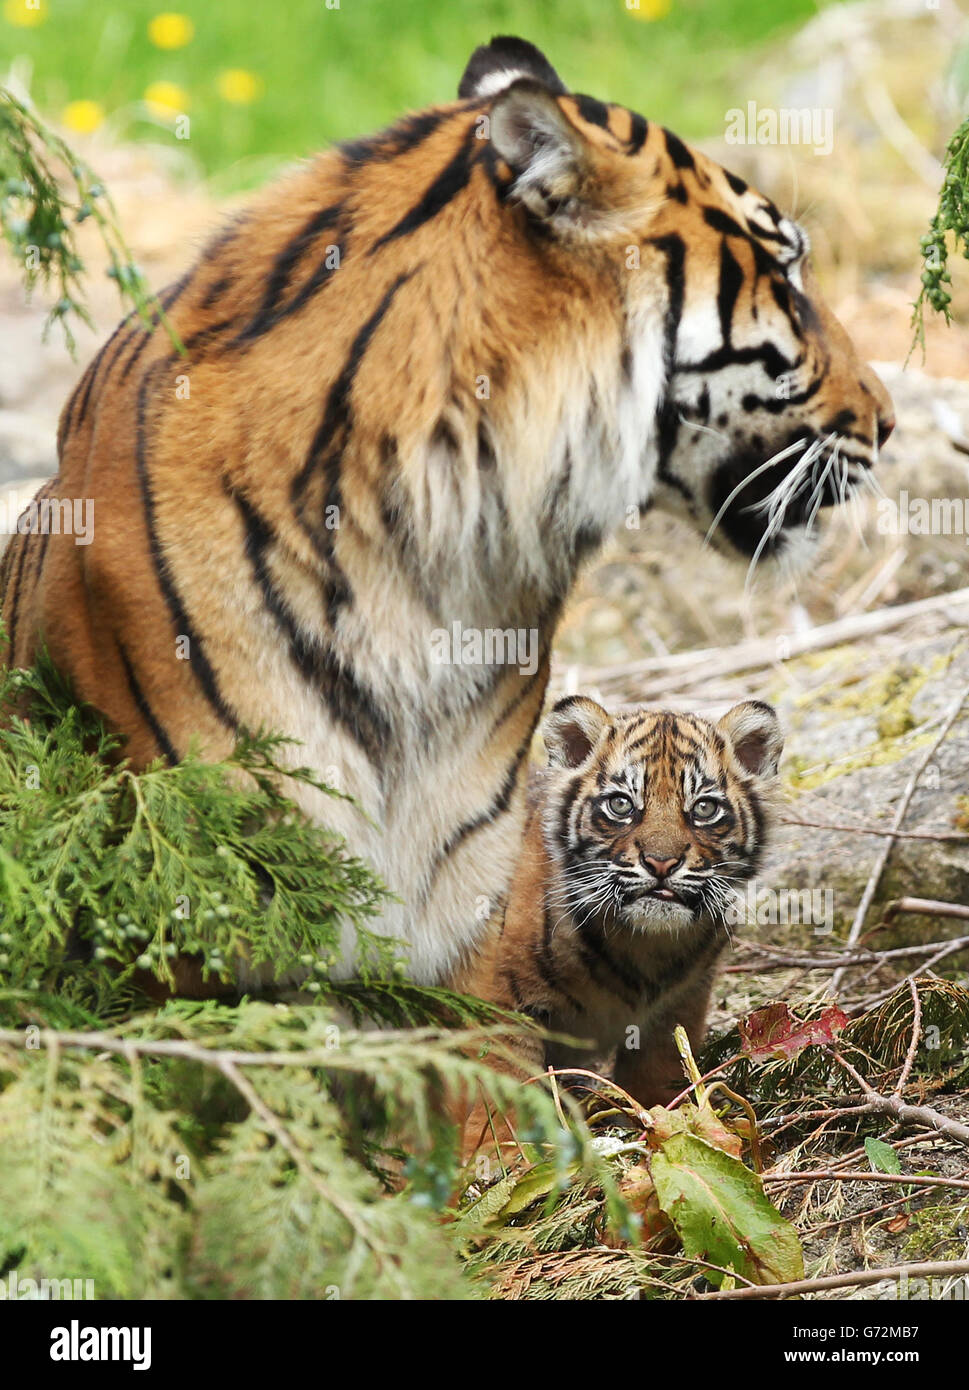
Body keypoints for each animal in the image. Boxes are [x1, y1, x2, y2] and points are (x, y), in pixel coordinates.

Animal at [453, 694, 783, 1160]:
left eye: (704, 808)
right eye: (621, 805)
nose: (661, 862)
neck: (642, 942)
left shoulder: (679, 1002)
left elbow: (659, 1067)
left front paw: (670, 1123)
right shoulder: (503, 997)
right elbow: (503, 1077)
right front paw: (495, 1153)